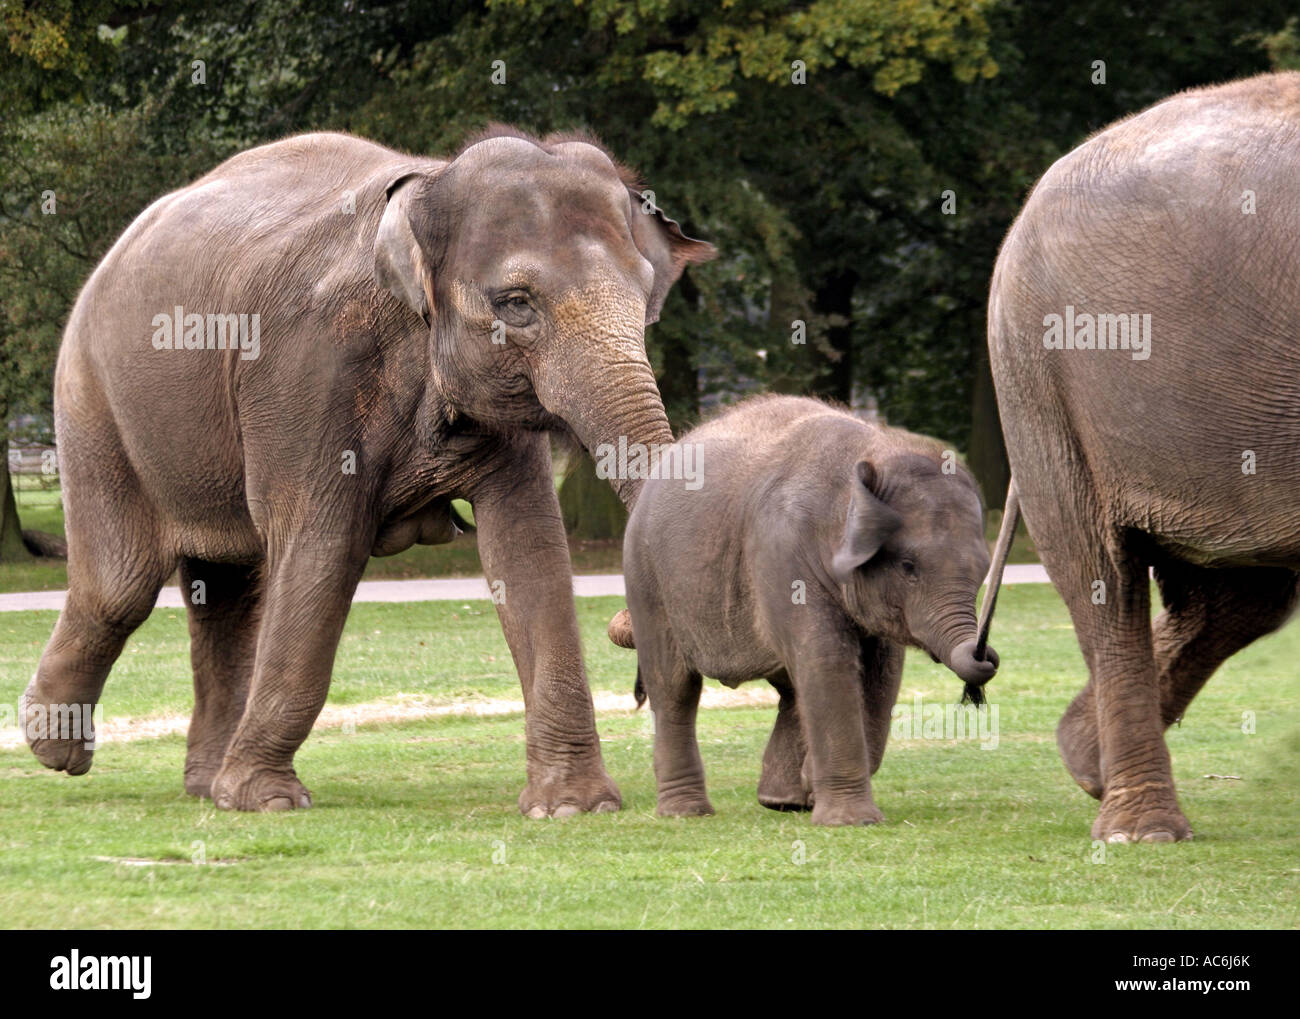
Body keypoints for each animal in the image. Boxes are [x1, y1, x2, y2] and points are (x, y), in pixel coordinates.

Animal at [20, 126, 715, 814]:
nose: (627, 635)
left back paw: (205, 785)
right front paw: (268, 801)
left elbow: (530, 550)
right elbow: (323, 548)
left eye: (643, 300)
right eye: (515, 303)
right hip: (91, 400)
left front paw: (574, 807)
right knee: (121, 585)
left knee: (224, 591)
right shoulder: (306, 376)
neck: (428, 181)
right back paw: (55, 747)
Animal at [609, 395, 997, 826]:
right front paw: (850, 820)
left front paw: (814, 784)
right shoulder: (782, 551)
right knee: (674, 687)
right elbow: (826, 658)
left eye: (983, 568)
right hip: (646, 576)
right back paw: (687, 812)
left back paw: (783, 799)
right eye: (908, 567)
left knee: (791, 686)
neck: (869, 457)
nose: (986, 655)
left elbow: (882, 673)